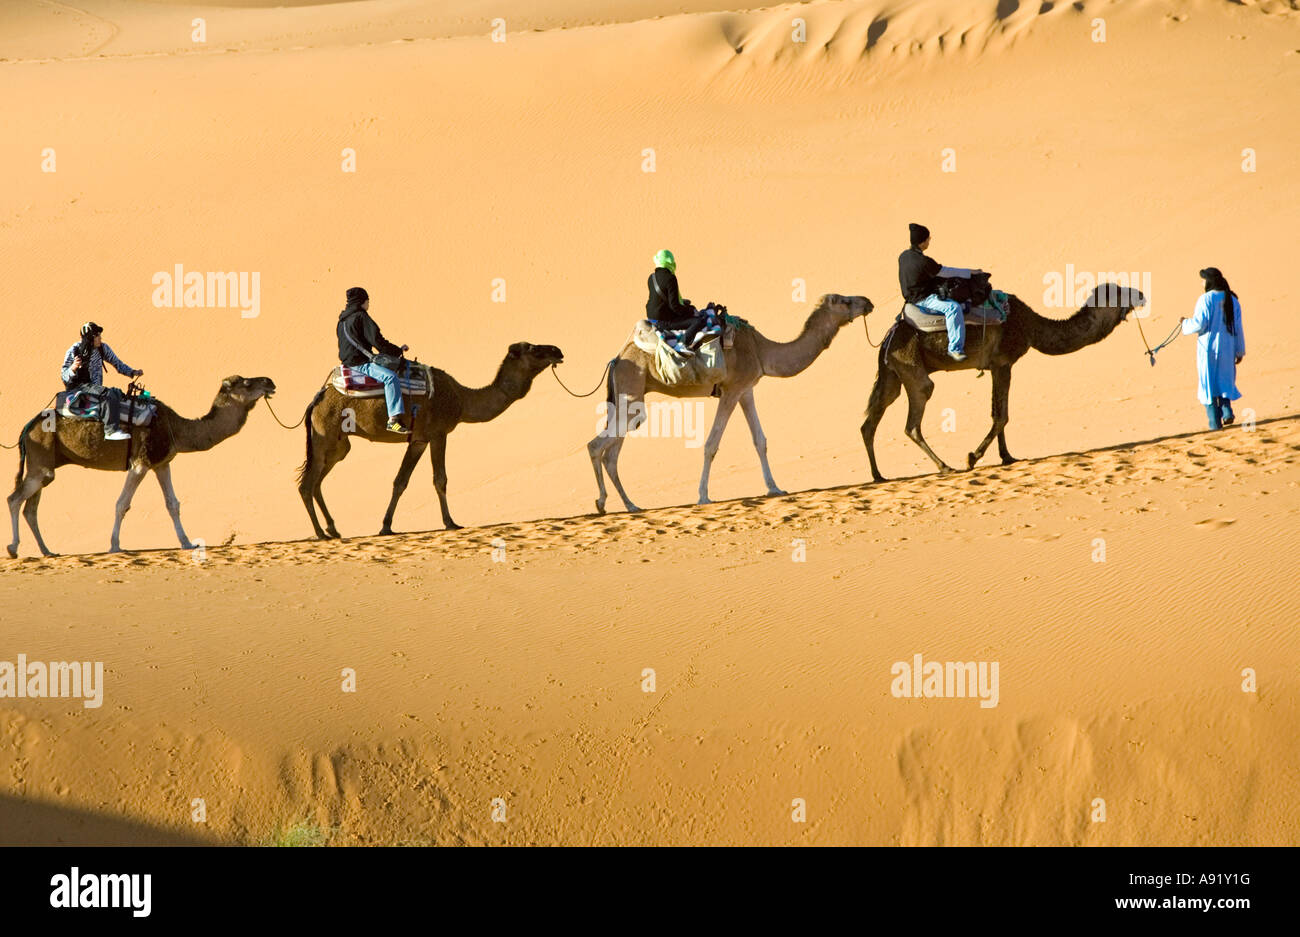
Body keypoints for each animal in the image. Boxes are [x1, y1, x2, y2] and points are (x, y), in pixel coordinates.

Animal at [7, 375, 277, 557]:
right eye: (247, 383)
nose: (270, 382)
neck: (177, 428)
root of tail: (28, 426)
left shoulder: (162, 463)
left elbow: (173, 504)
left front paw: (187, 543)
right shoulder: (141, 462)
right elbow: (122, 504)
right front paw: (115, 546)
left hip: (44, 466)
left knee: (31, 508)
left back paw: (47, 551)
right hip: (40, 461)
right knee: (14, 499)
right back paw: (13, 548)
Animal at [297, 341, 564, 538]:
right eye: (533, 349)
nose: (557, 351)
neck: (462, 399)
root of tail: (316, 400)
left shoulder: (418, 440)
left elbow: (400, 482)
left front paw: (386, 526)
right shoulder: (438, 434)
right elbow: (440, 479)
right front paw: (450, 522)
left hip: (339, 445)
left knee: (318, 481)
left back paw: (333, 529)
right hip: (325, 434)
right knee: (307, 484)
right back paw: (321, 533)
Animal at [588, 293, 873, 513]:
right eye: (845, 300)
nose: (867, 302)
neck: (761, 350)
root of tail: (616, 360)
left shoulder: (746, 389)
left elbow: (760, 440)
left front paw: (775, 488)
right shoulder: (732, 389)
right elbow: (711, 444)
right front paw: (703, 496)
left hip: (628, 400)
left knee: (611, 455)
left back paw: (630, 505)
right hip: (632, 394)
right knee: (596, 446)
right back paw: (602, 503)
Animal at [861, 283, 1146, 481]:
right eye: (1121, 291)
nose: (1142, 294)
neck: (1032, 326)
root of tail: (888, 338)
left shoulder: (996, 366)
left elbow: (997, 412)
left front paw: (1007, 457)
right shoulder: (1003, 363)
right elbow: (1002, 415)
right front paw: (973, 457)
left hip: (892, 374)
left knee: (870, 422)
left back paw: (878, 475)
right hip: (910, 366)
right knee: (914, 417)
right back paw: (944, 466)